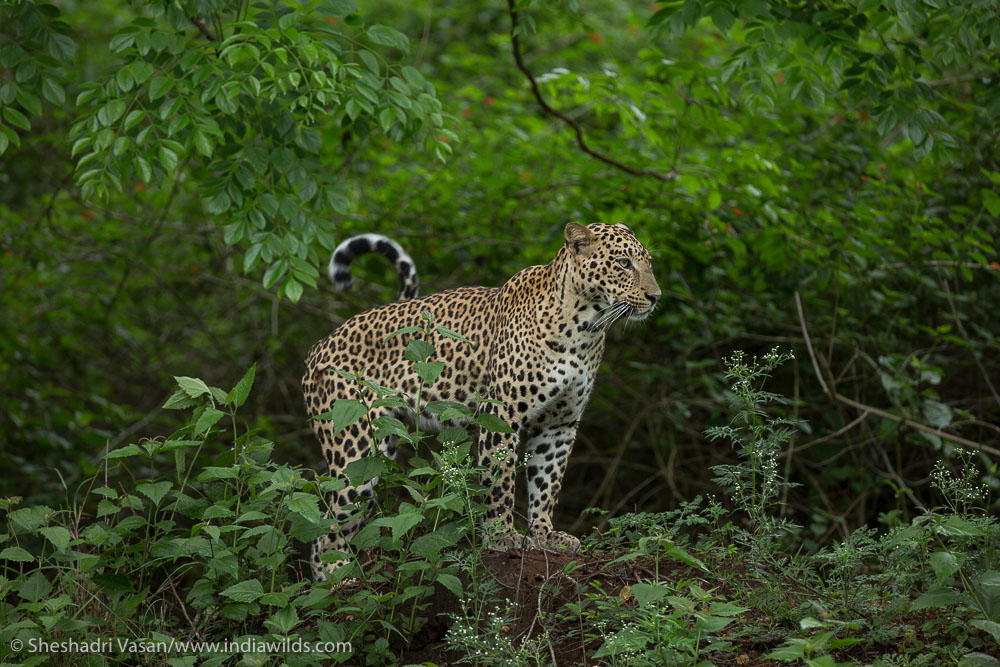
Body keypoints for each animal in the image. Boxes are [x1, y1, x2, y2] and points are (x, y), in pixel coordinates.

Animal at [302, 222, 661, 580]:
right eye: (624, 263)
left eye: (648, 262)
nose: (656, 297)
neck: (585, 327)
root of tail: (318, 345)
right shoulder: (502, 415)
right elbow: (499, 481)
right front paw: (501, 537)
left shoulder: (561, 424)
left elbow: (547, 483)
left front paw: (545, 535)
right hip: (355, 448)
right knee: (328, 528)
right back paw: (340, 580)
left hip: (380, 449)